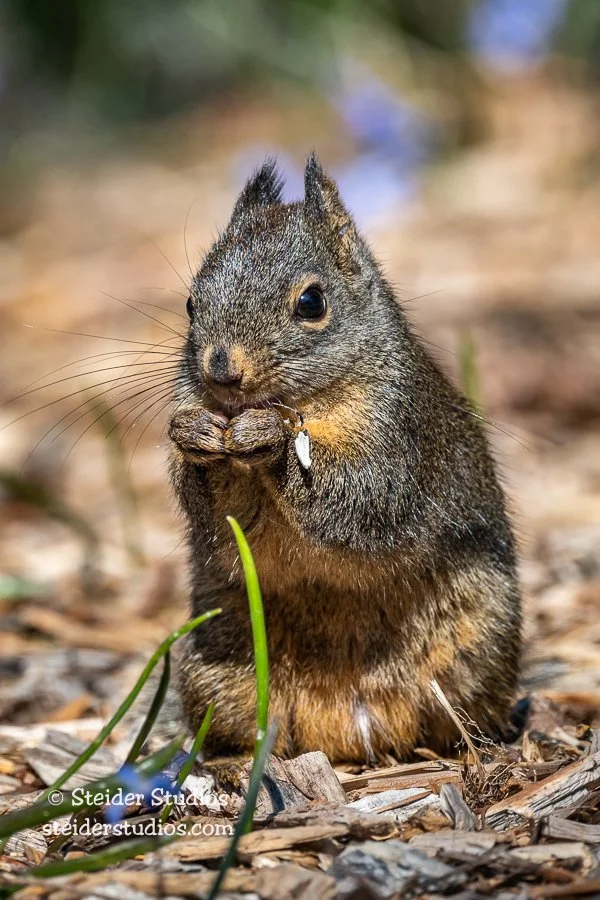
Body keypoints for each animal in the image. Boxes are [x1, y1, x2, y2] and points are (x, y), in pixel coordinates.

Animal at [168, 154, 521, 765]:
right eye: (191, 303)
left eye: (312, 303)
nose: (221, 372)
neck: (308, 404)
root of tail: (350, 725)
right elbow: (225, 521)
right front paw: (195, 436)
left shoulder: (399, 435)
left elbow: (365, 500)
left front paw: (272, 441)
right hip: (218, 663)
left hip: (476, 645)